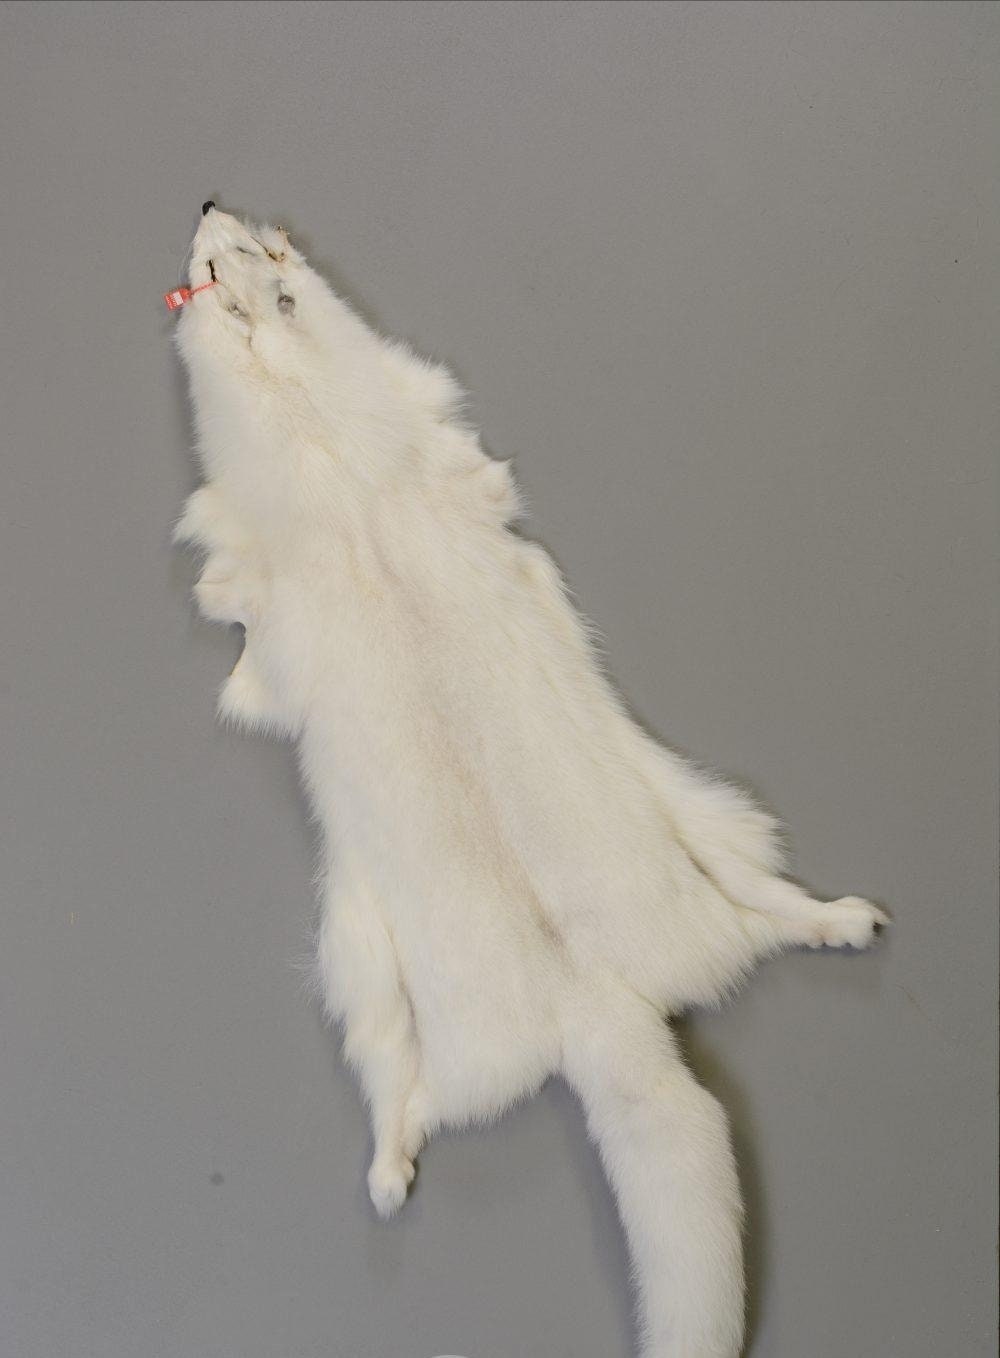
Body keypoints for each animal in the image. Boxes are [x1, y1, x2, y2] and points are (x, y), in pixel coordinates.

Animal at [170, 202, 888, 1358]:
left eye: (247, 253)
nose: (204, 200)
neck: (338, 472)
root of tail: (593, 1003)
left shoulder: (278, 611)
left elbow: (243, 638)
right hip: (699, 831)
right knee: (767, 913)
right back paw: (842, 921)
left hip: (363, 960)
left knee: (400, 1093)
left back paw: (386, 1174)